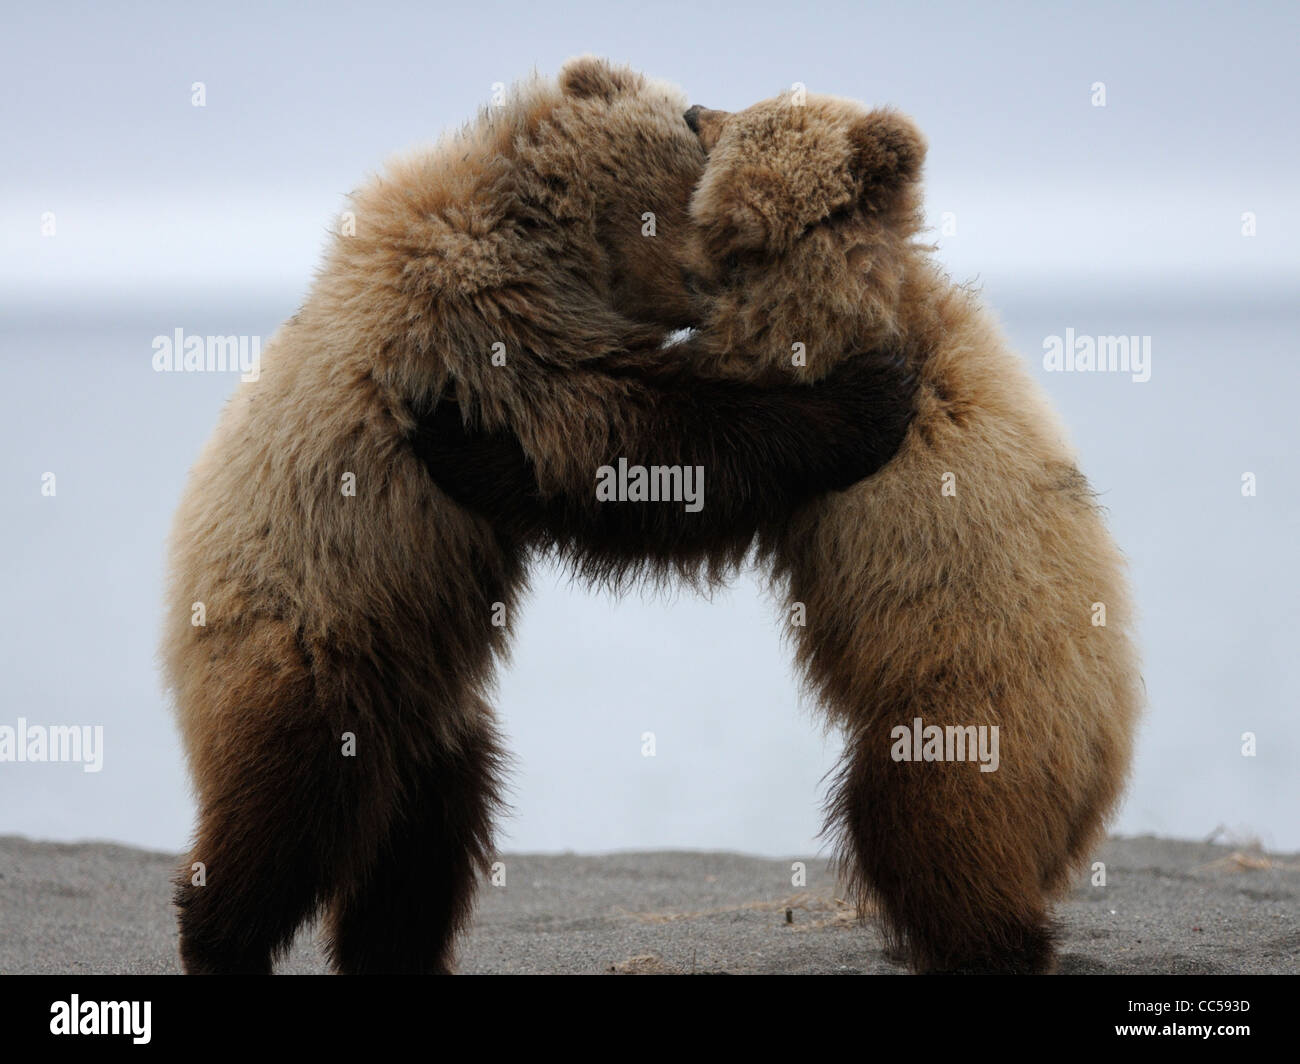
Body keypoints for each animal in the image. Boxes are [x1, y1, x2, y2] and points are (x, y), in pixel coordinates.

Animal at [163, 59, 918, 974]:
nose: (725, 275)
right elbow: (628, 444)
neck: (550, 234)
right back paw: (218, 936)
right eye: (695, 161)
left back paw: (399, 949)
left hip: (430, 703)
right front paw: (867, 397)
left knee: (421, 841)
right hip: (313, 644)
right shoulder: (485, 316)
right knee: (289, 818)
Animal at [669, 93, 1144, 973]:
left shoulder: (821, 333)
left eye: (747, 113)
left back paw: (982, 943)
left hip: (960, 715)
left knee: (920, 827)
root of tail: (1105, 754)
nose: (691, 108)